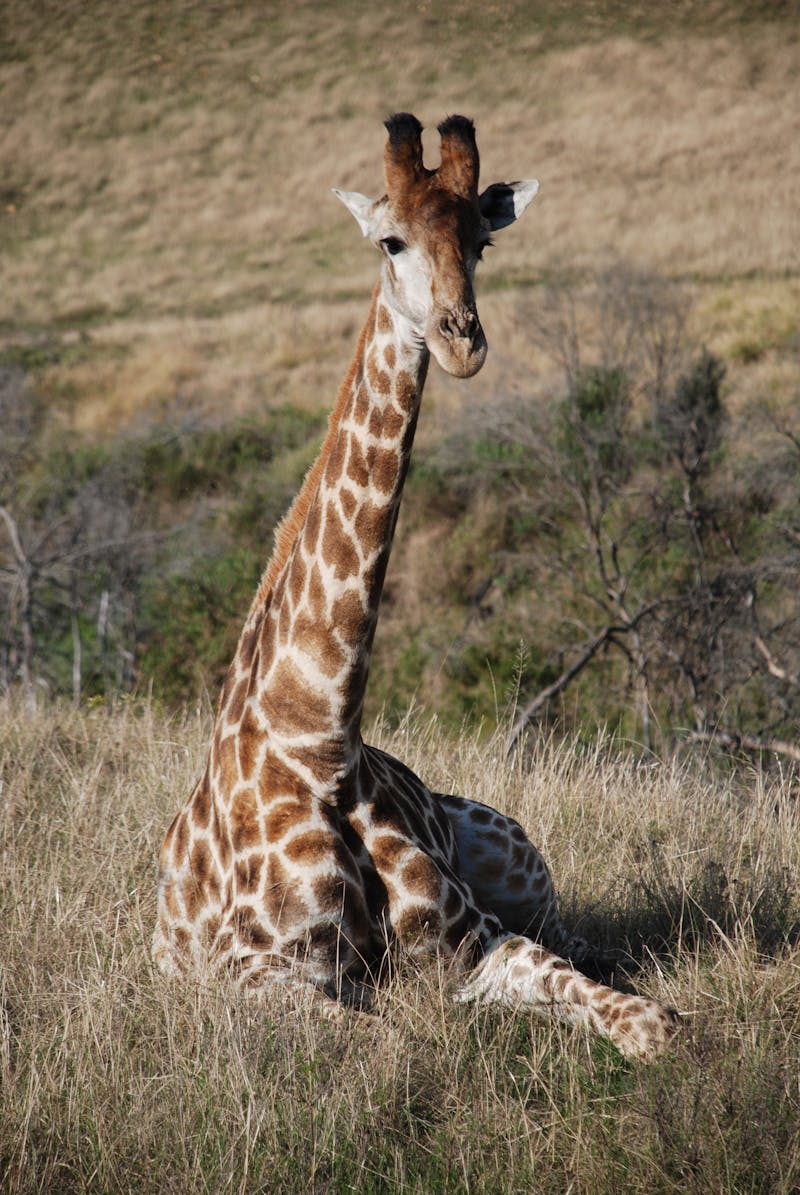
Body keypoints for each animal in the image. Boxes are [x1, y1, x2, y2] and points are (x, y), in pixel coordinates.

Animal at [152, 113, 679, 1059]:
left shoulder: (483, 941)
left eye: (481, 240)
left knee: (579, 933)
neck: (321, 736)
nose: (462, 338)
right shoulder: (254, 973)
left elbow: (636, 1013)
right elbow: (394, 1039)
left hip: (524, 860)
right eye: (388, 239)